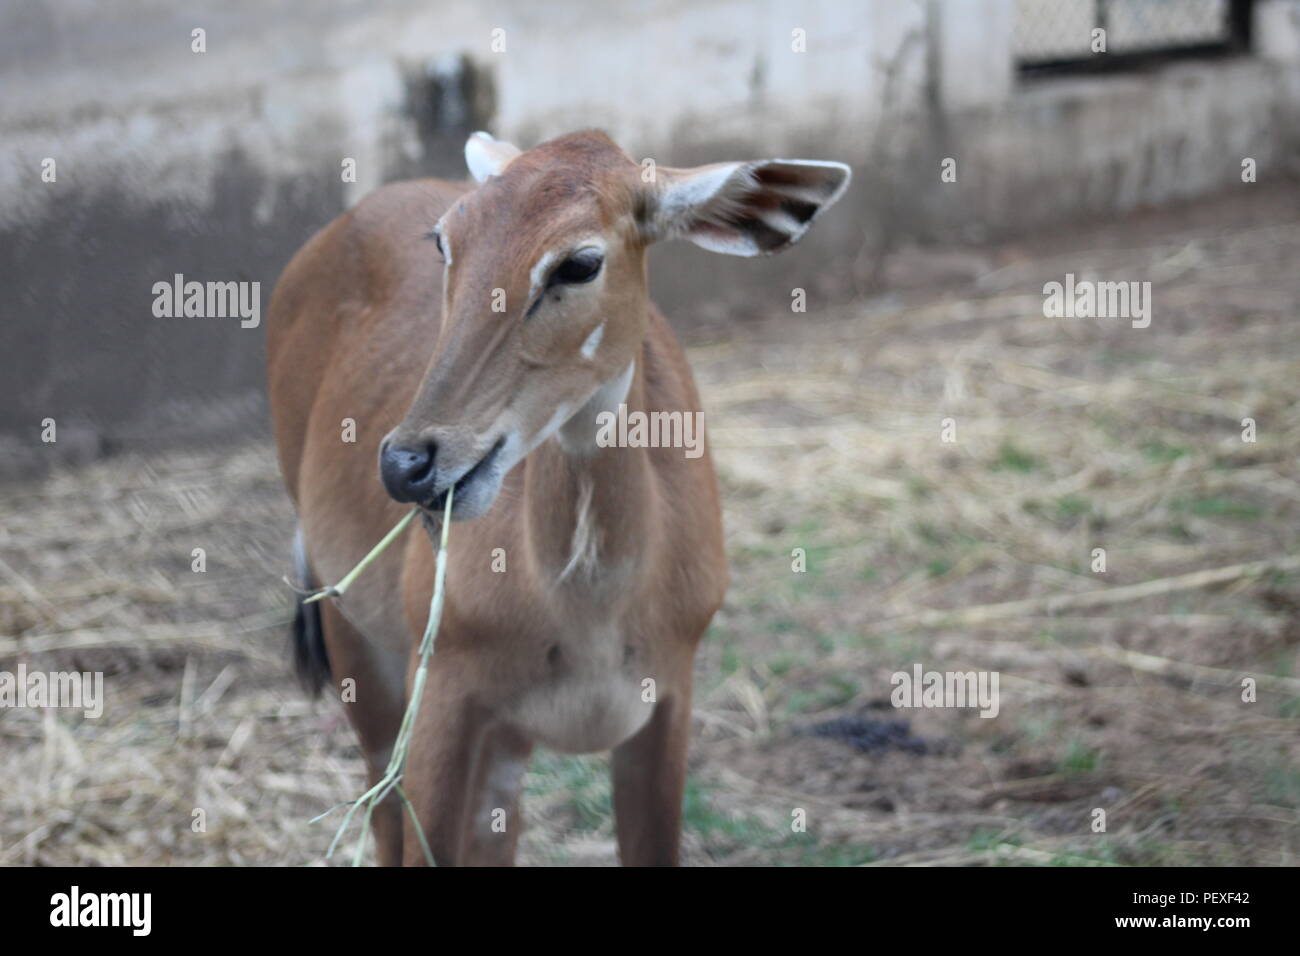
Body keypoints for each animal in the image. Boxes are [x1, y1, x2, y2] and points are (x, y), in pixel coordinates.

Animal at [266, 129, 849, 865]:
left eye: (579, 263)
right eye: (445, 240)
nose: (408, 463)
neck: (590, 621)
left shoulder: (667, 697)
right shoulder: (445, 688)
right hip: (354, 633)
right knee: (384, 811)